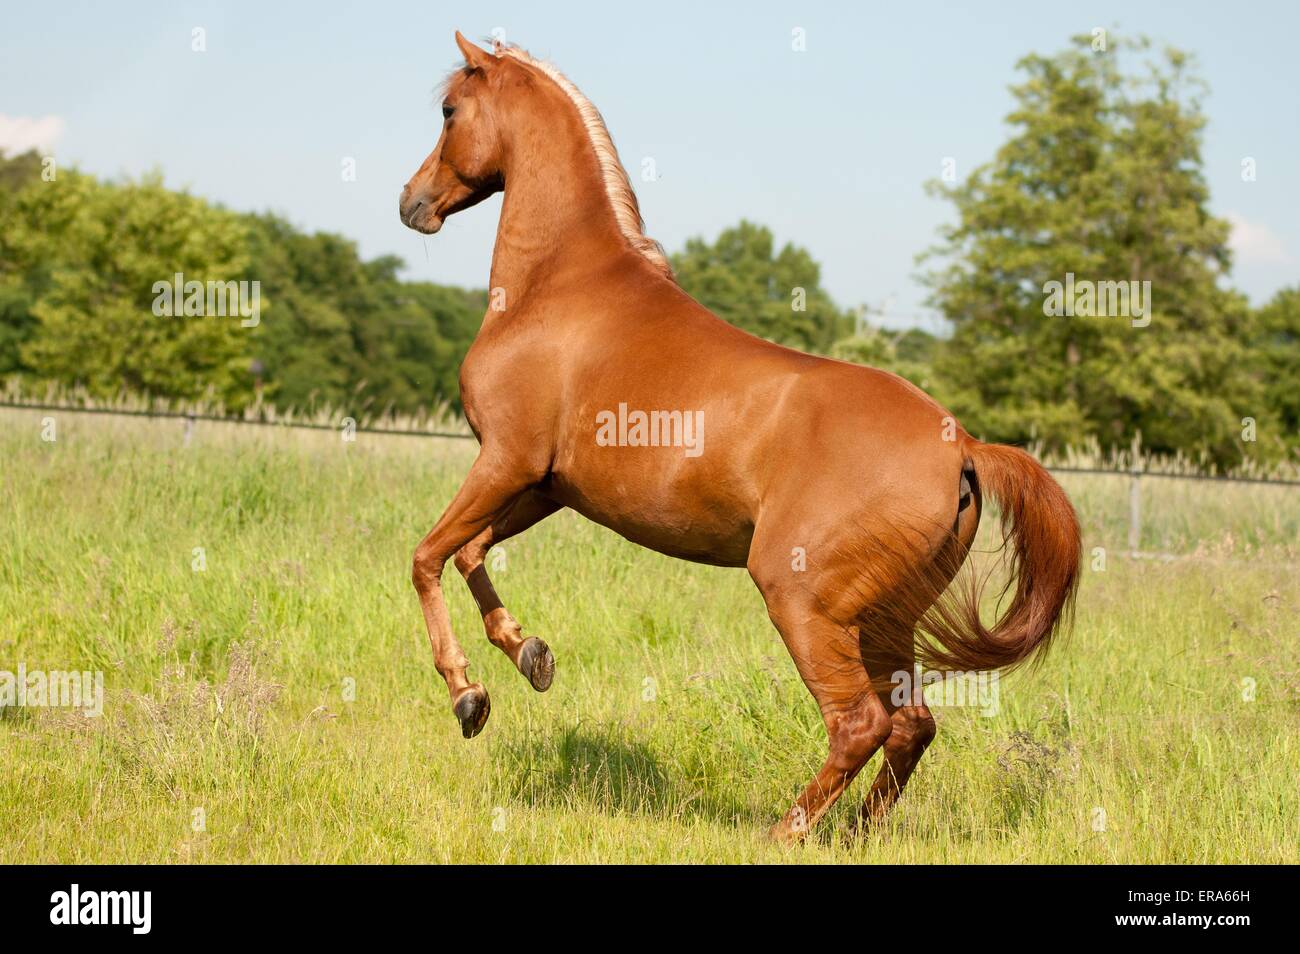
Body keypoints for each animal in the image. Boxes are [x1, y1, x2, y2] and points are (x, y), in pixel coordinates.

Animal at [398, 32, 1081, 841]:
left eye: (448, 110)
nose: (411, 203)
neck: (559, 285)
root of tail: (963, 447)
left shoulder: (504, 461)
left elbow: (428, 557)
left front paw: (466, 696)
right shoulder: (544, 487)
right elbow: (470, 552)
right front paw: (529, 652)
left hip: (804, 601)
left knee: (862, 723)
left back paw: (787, 832)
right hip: (886, 615)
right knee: (912, 725)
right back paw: (855, 834)